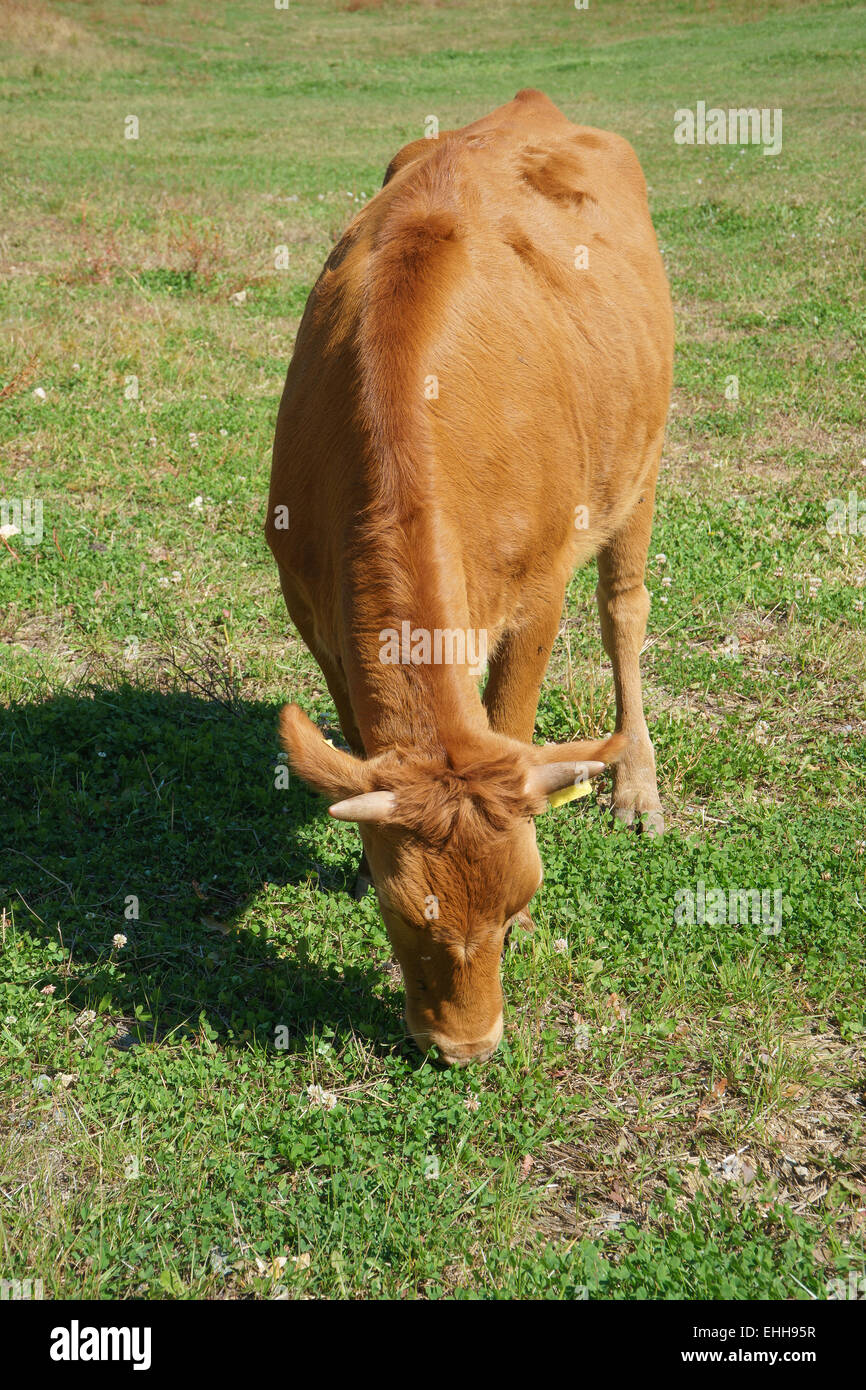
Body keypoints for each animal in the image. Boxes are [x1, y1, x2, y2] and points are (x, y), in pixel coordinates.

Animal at [266, 89, 674, 1065]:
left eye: (523, 901)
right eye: (402, 916)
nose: (468, 1048)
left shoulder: (538, 591)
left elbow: (514, 718)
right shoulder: (316, 617)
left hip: (640, 466)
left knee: (624, 612)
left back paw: (636, 784)